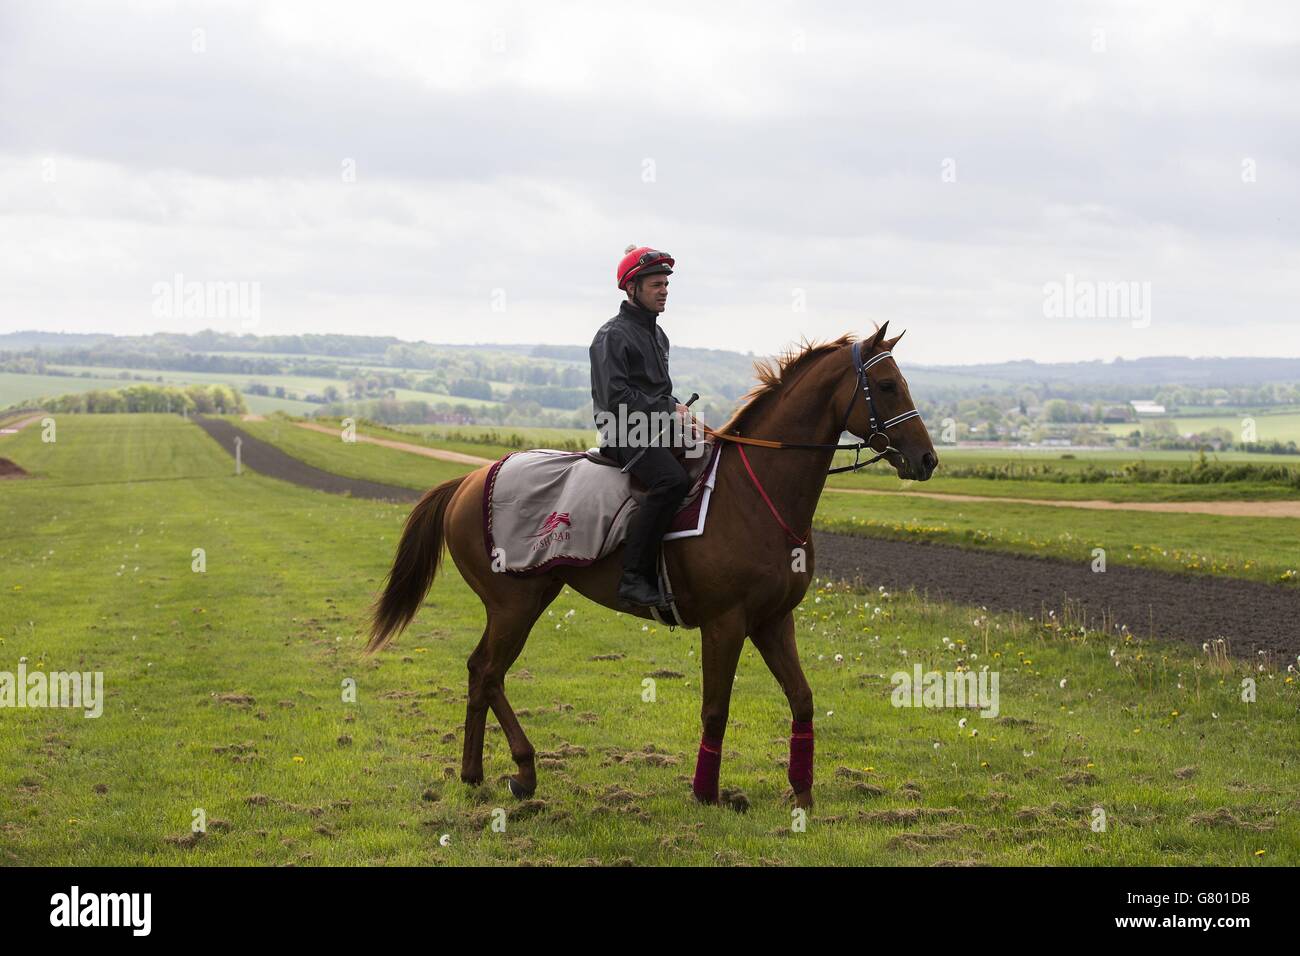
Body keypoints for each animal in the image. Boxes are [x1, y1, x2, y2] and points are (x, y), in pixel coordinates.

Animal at [367, 322, 938, 809]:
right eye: (887, 385)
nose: (928, 459)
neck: (756, 493)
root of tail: (467, 480)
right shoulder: (726, 623)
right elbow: (716, 709)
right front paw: (707, 794)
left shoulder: (775, 621)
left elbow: (802, 700)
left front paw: (801, 794)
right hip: (515, 604)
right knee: (487, 671)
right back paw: (523, 771)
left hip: (527, 599)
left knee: (481, 673)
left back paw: (475, 773)